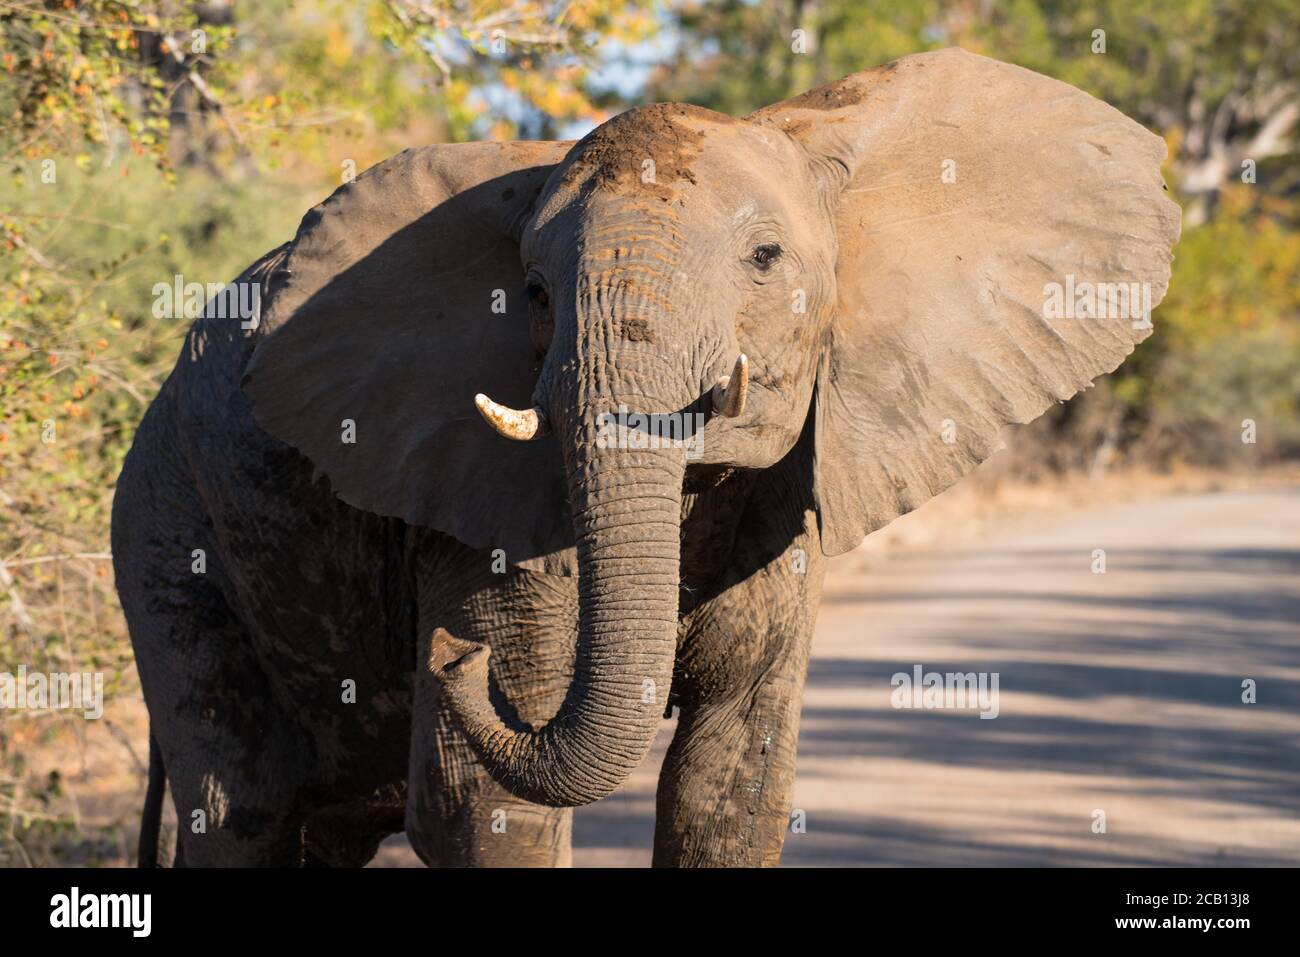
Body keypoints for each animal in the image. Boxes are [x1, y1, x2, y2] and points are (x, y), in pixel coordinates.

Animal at [111, 48, 1180, 867]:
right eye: (534, 294)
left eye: (765, 260)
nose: (451, 657)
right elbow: (481, 809)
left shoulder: (780, 511)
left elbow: (732, 781)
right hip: (166, 536)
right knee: (240, 807)